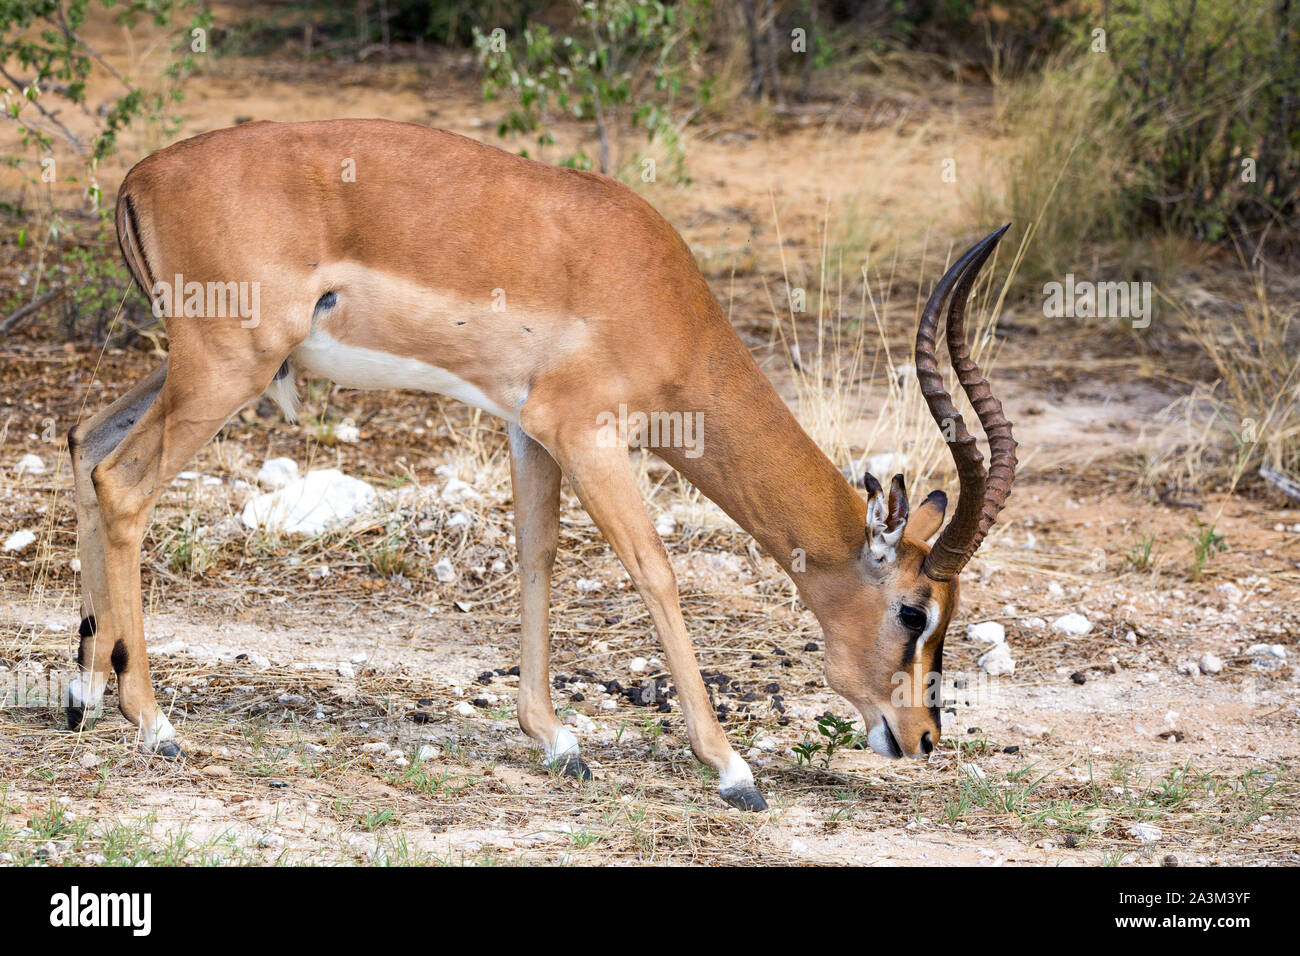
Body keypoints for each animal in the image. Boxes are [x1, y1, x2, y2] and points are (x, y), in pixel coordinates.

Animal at [66, 119, 1015, 810]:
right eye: (913, 613)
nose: (921, 736)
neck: (655, 293)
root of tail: (141, 177)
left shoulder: (531, 432)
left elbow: (538, 559)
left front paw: (558, 742)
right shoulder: (588, 431)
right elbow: (655, 570)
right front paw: (733, 770)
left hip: (198, 368)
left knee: (86, 442)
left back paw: (83, 694)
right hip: (227, 368)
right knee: (124, 485)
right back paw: (154, 724)